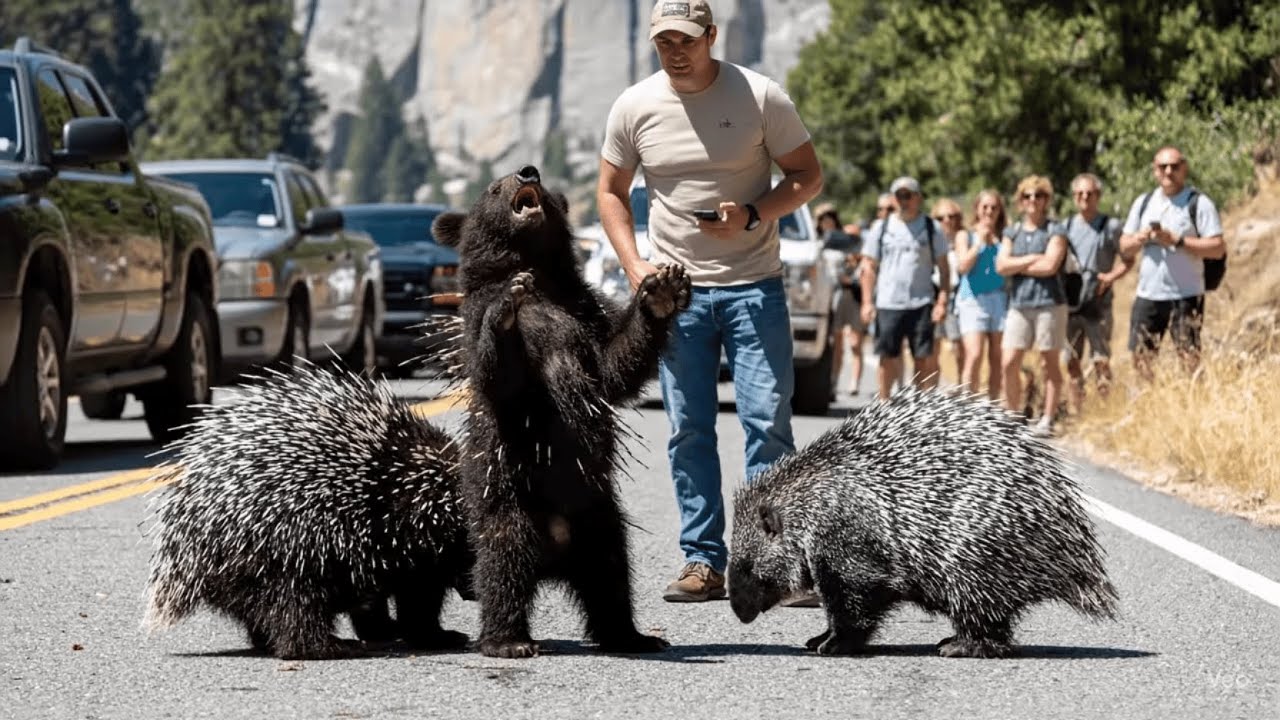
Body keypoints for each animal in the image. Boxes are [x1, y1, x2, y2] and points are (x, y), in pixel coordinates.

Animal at [432, 164, 691, 658]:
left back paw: (631, 634)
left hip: (599, 516)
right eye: (493, 188)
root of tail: (554, 555)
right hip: (510, 501)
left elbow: (613, 369)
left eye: (545, 186)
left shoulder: (584, 312)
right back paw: (508, 640)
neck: (538, 276)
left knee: (612, 573)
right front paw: (506, 309)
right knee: (502, 564)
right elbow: (501, 380)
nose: (525, 173)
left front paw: (660, 293)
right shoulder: (479, 327)